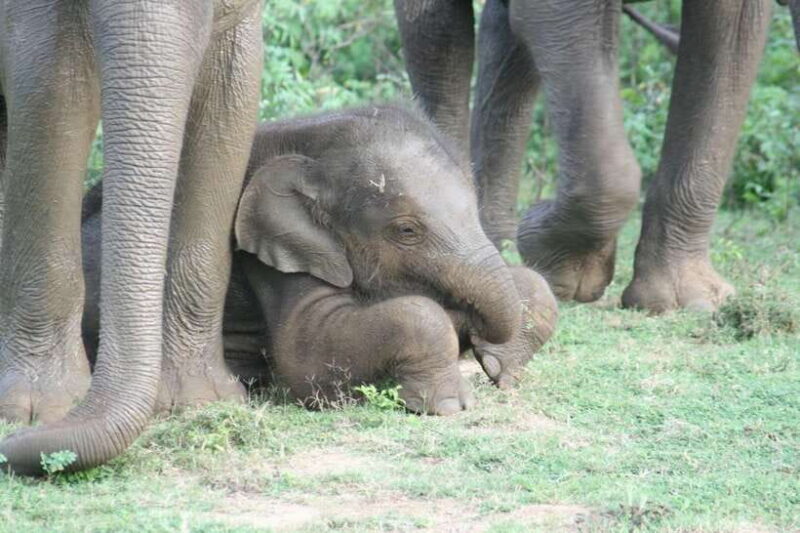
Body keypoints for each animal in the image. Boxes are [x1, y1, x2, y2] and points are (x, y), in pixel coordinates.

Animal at [81, 105, 559, 415]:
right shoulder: (268, 251)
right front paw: (449, 404)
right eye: (406, 231)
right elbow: (306, 353)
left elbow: (537, 286)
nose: (478, 342)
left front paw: (501, 369)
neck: (313, 144)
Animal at [394, 0, 786, 312]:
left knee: (501, 33)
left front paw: (693, 302)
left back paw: (494, 244)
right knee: (437, 27)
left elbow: (732, 28)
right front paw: (559, 265)